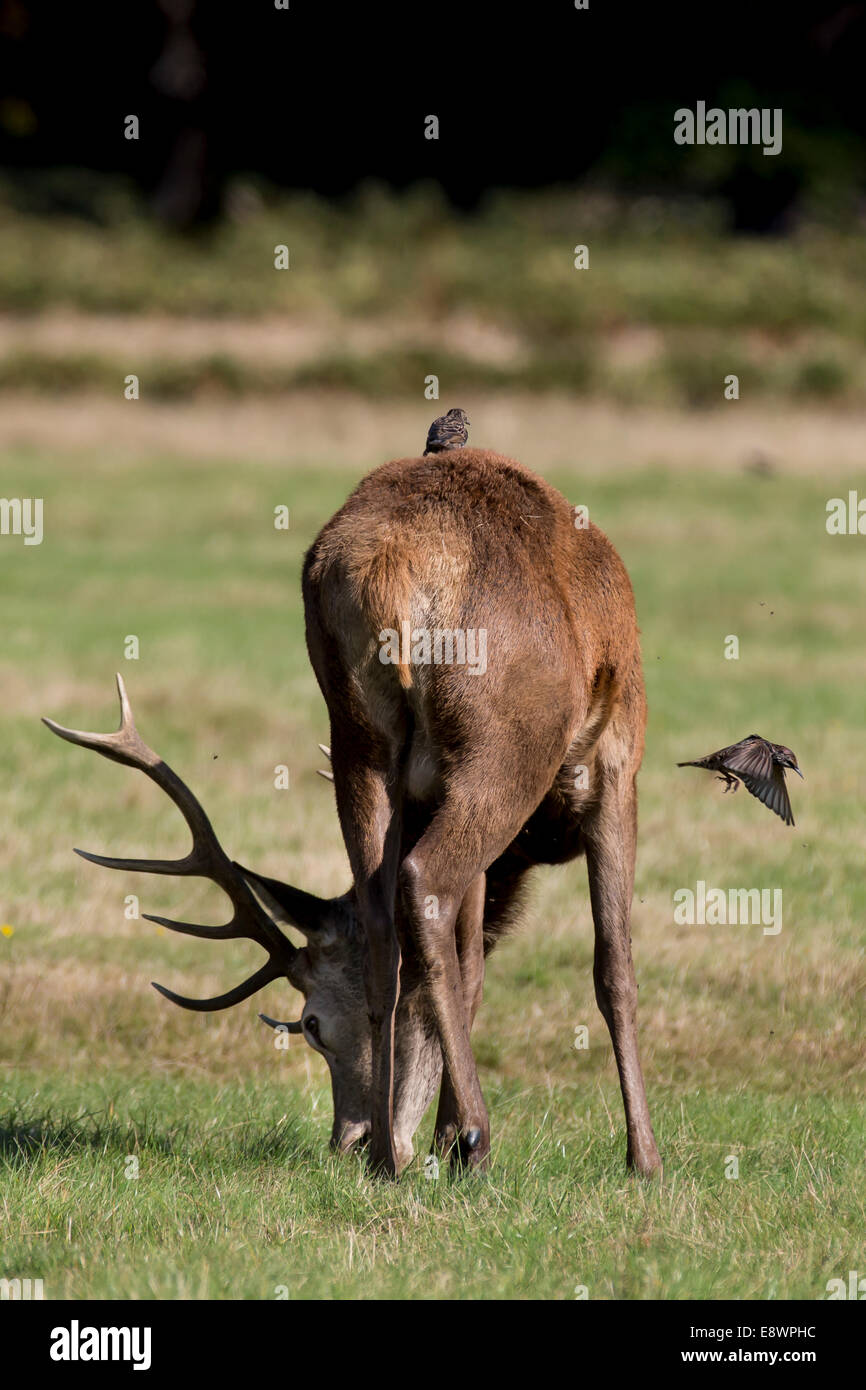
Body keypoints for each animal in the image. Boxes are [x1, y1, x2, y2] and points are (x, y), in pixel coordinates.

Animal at [44, 447, 661, 1181]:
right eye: (311, 1028)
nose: (350, 1137)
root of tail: (391, 564)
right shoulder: (618, 767)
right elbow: (613, 969)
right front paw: (643, 1157)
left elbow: (470, 966)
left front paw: (441, 1135)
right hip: (505, 747)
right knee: (425, 880)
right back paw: (476, 1138)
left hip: (357, 738)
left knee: (384, 918)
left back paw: (399, 1158)